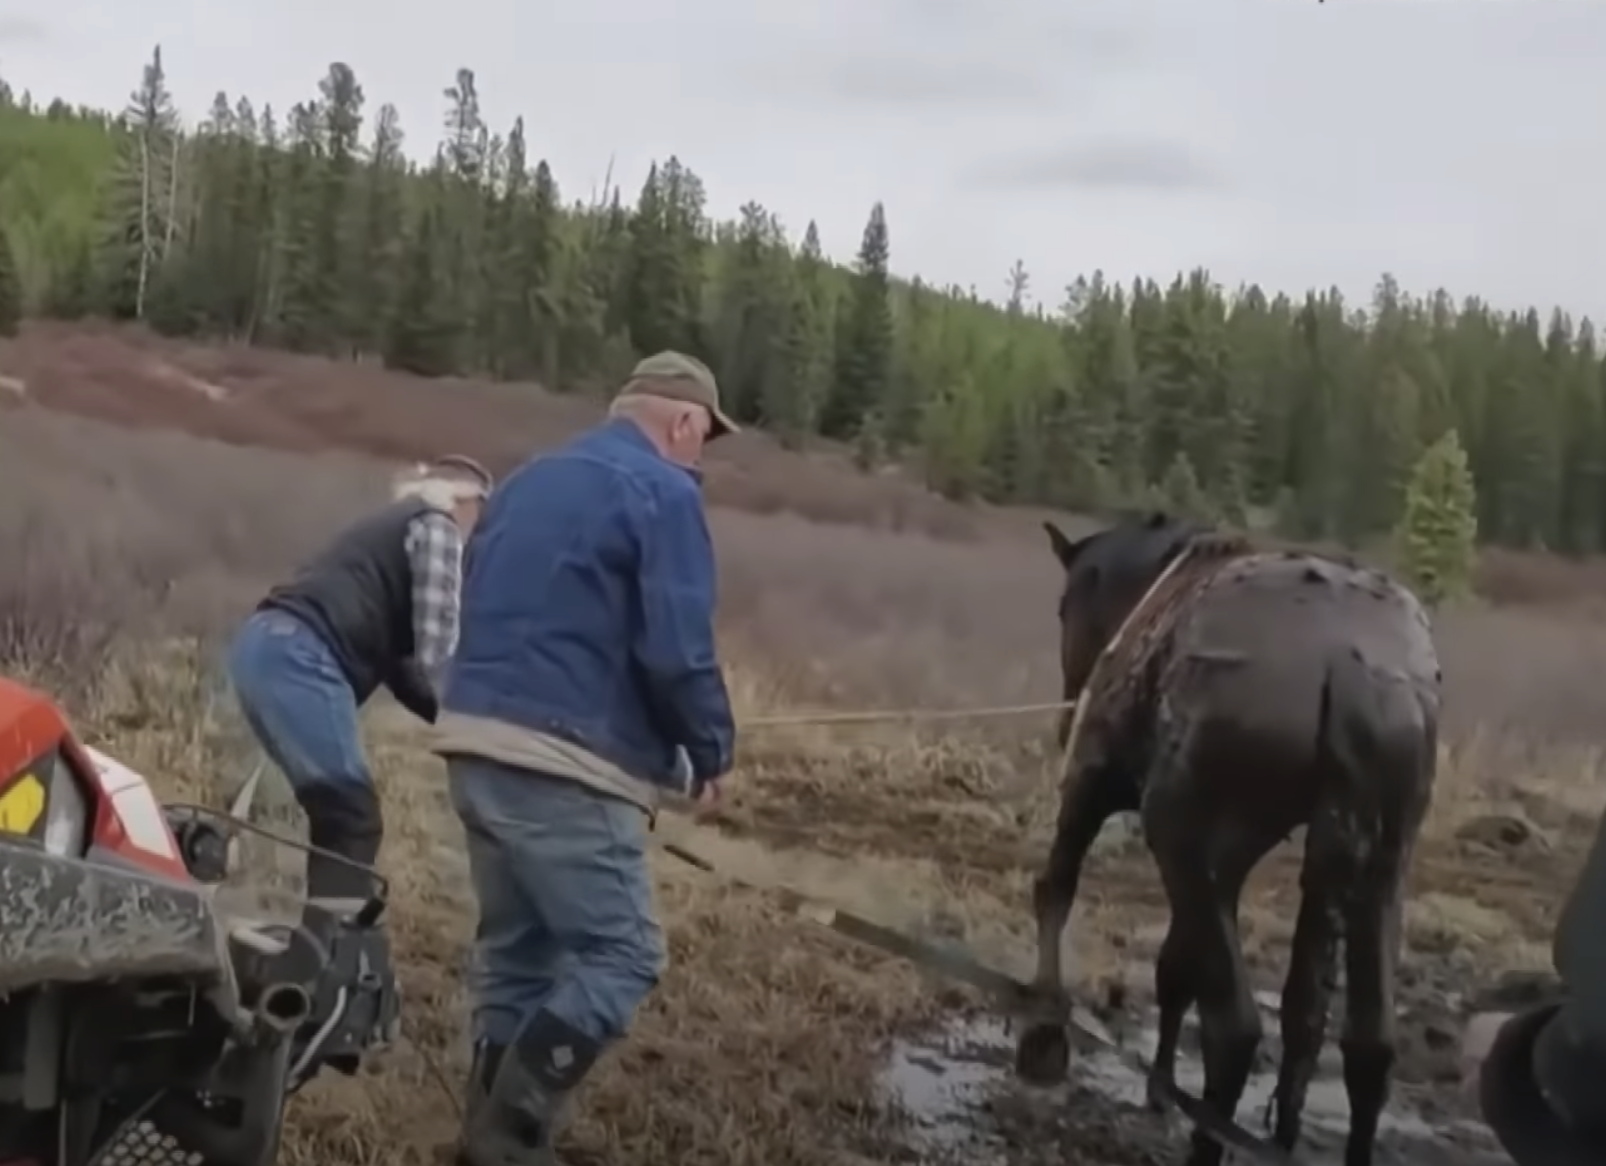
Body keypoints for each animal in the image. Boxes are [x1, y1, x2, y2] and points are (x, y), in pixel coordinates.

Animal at [1016, 512, 1440, 1166]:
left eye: (1065, 607)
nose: (1067, 719)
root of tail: (1350, 669)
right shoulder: (1236, 864)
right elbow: (1188, 971)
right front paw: (1161, 1086)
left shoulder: (1093, 786)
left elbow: (1056, 891)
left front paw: (1042, 1035)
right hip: (1378, 867)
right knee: (1368, 1044)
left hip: (1183, 834)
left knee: (1235, 1029)